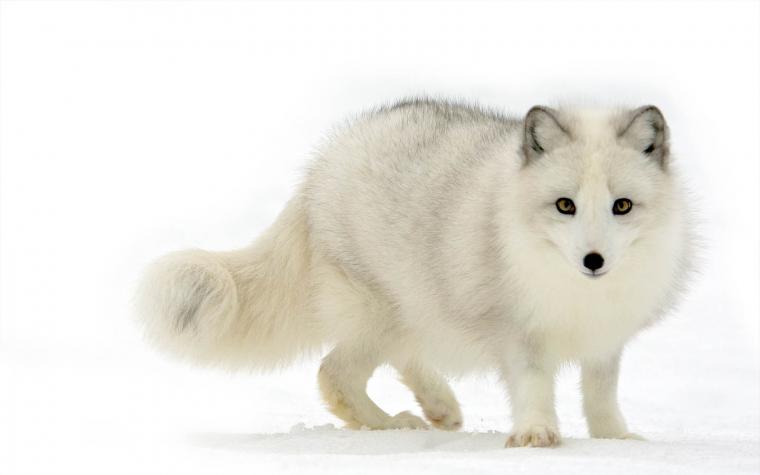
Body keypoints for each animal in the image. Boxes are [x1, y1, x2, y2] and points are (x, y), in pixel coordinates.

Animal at [135, 99, 694, 447]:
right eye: (565, 205)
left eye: (622, 205)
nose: (593, 261)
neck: (575, 291)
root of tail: (322, 164)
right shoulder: (517, 331)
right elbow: (535, 385)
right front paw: (537, 435)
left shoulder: (606, 338)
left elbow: (601, 394)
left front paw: (616, 440)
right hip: (382, 312)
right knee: (333, 375)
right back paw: (392, 426)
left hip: (414, 310)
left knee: (399, 359)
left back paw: (439, 407)